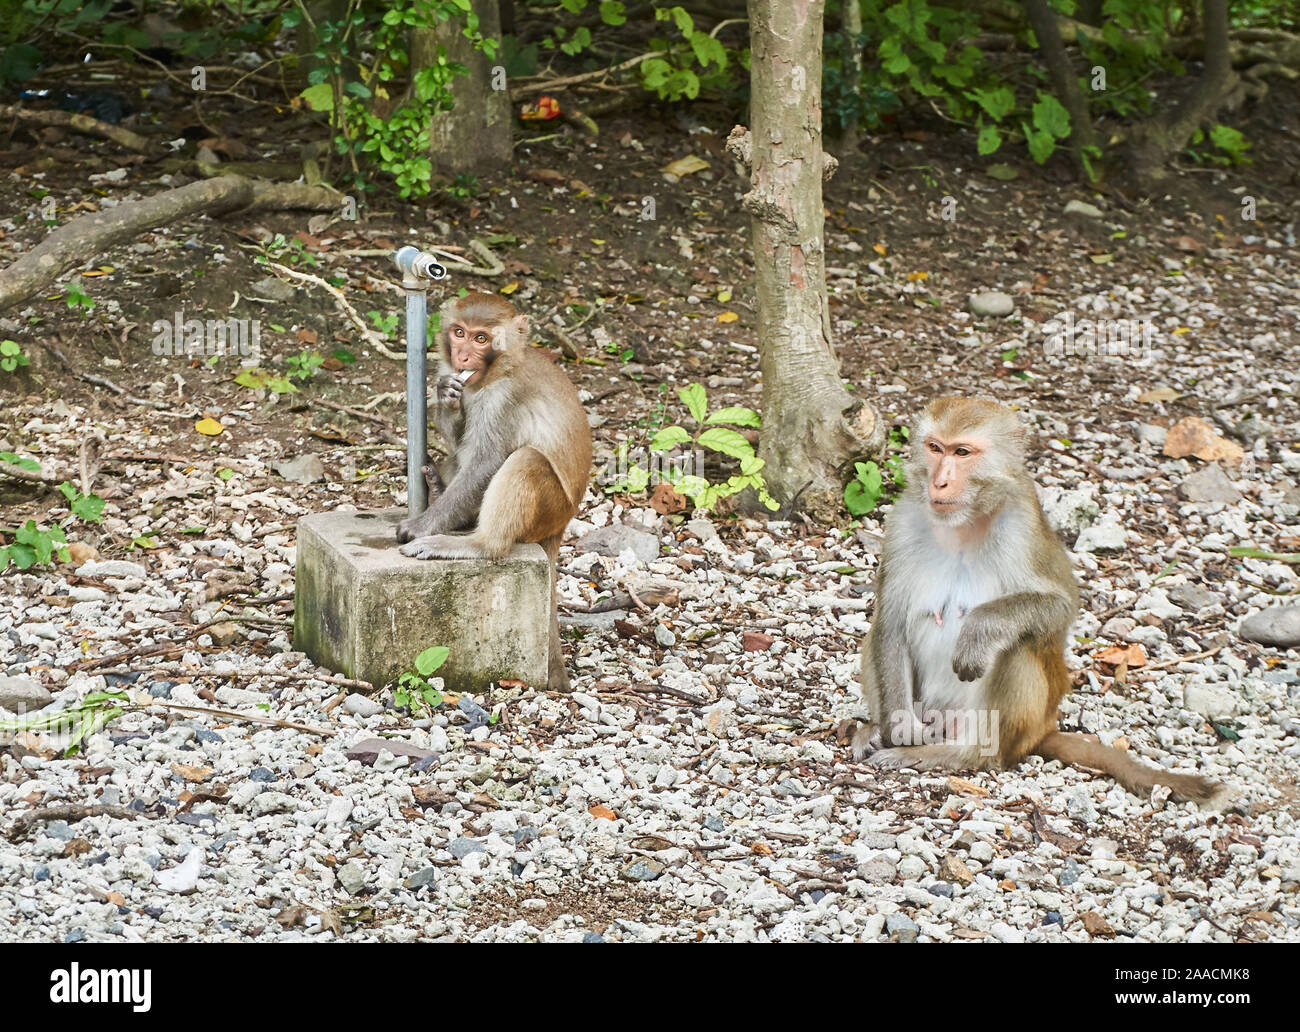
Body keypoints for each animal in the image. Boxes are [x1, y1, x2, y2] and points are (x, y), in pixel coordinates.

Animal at [396, 291, 592, 692]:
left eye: (481, 339)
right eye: (459, 332)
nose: (462, 357)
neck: (497, 371)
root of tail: (561, 526)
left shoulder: (504, 399)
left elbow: (486, 462)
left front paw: (421, 526)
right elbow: (458, 437)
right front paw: (446, 395)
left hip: (549, 508)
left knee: (526, 460)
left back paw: (478, 543)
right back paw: (439, 490)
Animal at [852, 397, 1225, 806]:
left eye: (962, 452)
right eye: (935, 448)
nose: (940, 481)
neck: (964, 525)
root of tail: (1043, 729)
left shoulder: (1023, 526)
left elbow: (1060, 606)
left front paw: (979, 629)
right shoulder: (902, 522)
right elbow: (890, 625)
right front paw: (900, 728)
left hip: (1021, 725)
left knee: (1016, 647)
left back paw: (960, 754)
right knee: (876, 637)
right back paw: (877, 732)